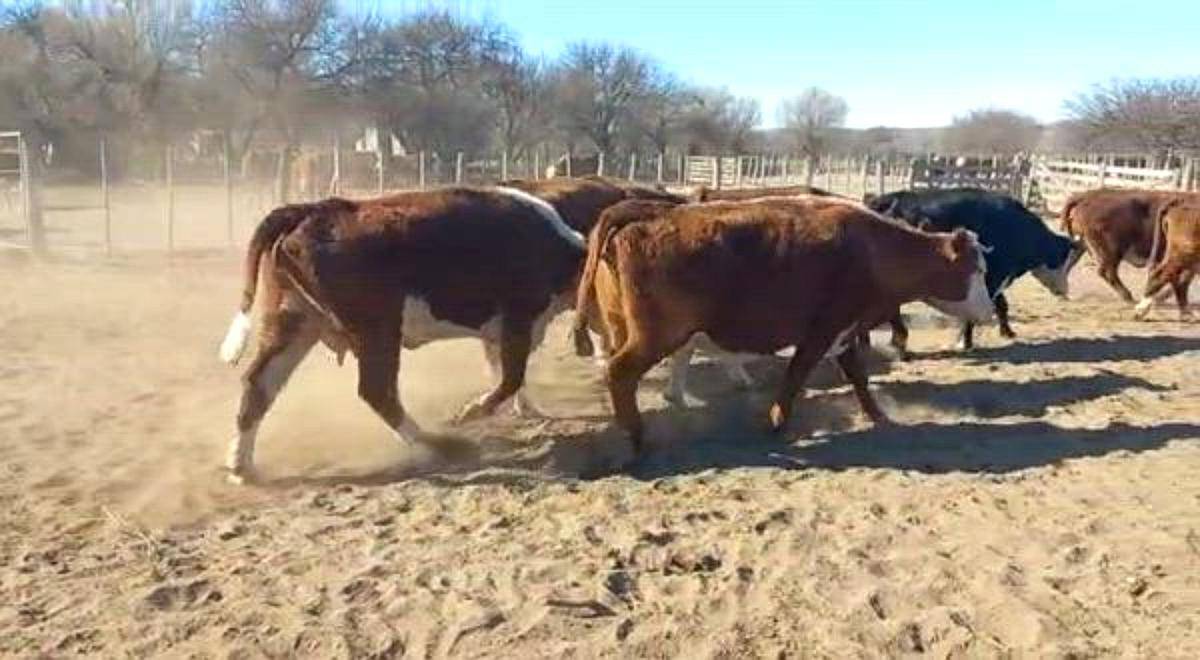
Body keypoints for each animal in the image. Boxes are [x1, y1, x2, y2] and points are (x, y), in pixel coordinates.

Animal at [571, 196, 994, 450]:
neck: (873, 250)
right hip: (656, 336)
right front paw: (776, 423)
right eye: (977, 270)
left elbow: (858, 378)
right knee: (619, 373)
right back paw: (638, 439)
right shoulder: (821, 332)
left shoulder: (843, 334)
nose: (990, 312)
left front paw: (879, 417)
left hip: (621, 329)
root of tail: (646, 212)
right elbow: (795, 377)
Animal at [868, 188, 1084, 351]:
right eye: (1067, 259)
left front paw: (1007, 332)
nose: (1065, 291)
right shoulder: (991, 277)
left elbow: (1001, 305)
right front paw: (964, 341)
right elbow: (978, 310)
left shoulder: (994, 280)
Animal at [1059, 189, 1196, 302]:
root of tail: (1085, 197)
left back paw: (1061, 293)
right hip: (1112, 251)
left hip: (1083, 245)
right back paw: (1128, 297)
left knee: (1069, 263)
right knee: (1107, 272)